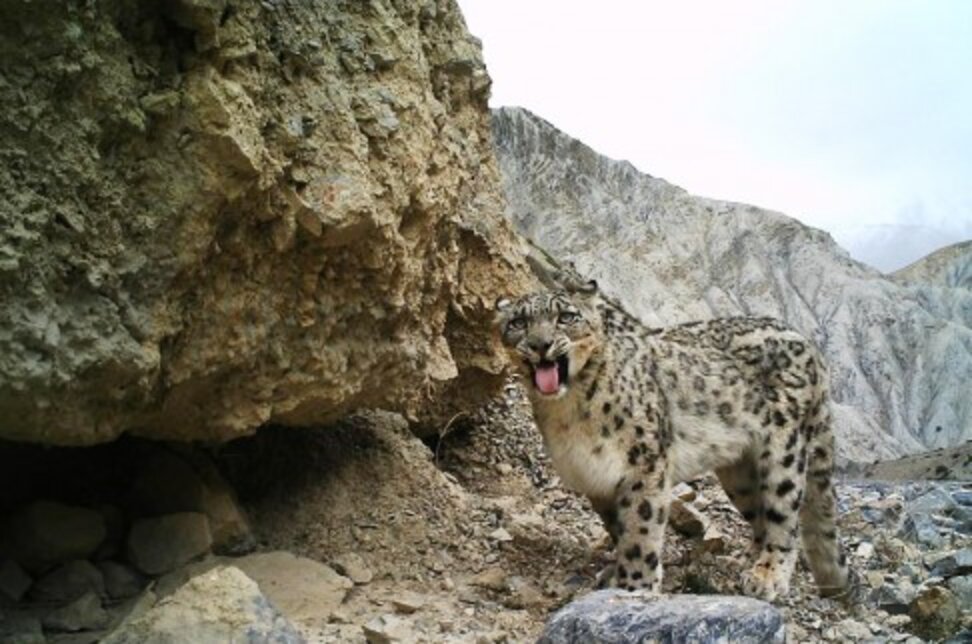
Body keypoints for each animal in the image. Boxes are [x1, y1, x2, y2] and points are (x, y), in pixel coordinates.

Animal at [495, 274, 850, 602]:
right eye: (518, 322)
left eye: (566, 316)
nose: (541, 344)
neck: (569, 413)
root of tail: (809, 345)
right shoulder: (595, 476)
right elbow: (618, 528)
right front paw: (616, 573)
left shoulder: (644, 464)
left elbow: (640, 531)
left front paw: (635, 586)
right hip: (740, 474)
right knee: (761, 516)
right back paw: (750, 564)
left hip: (783, 451)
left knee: (785, 516)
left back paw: (767, 575)